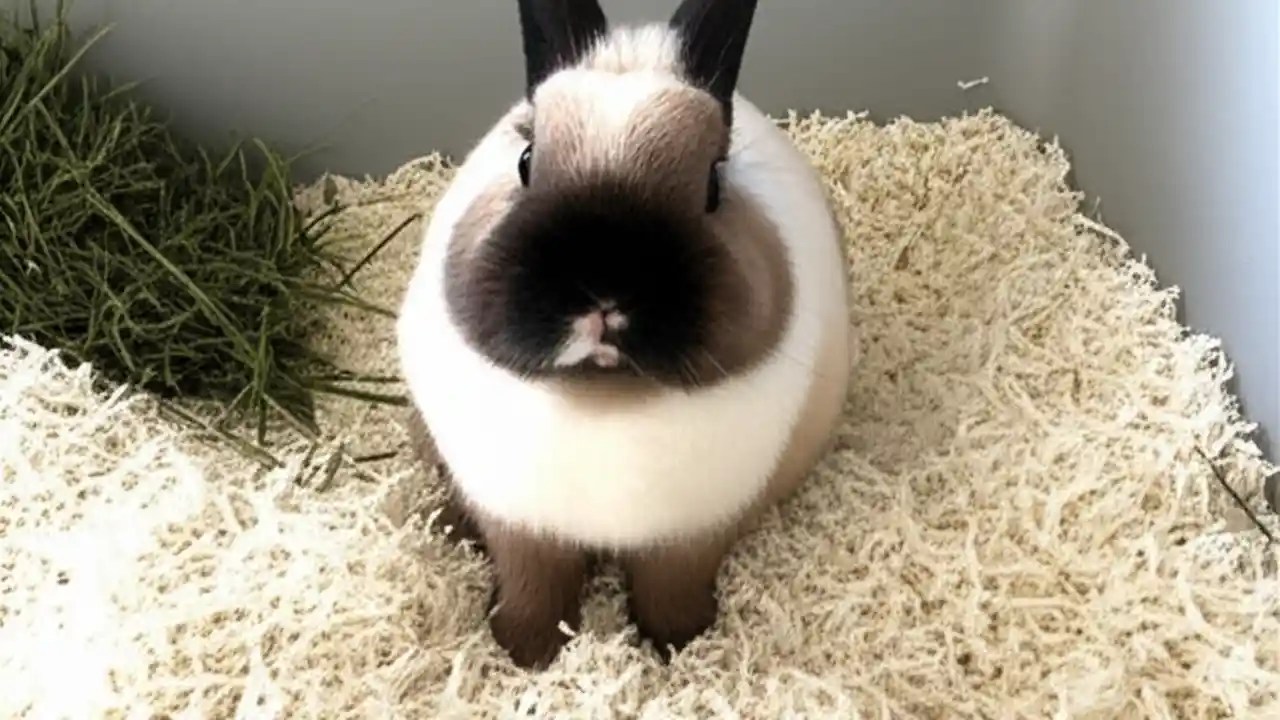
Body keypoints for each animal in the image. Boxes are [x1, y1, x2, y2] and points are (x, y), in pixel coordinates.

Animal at [396, 0, 852, 669]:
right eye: (526, 160)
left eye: (714, 183)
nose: (605, 286)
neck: (604, 398)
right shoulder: (522, 527)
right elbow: (535, 588)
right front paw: (525, 652)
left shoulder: (690, 538)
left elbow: (668, 591)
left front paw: (677, 645)